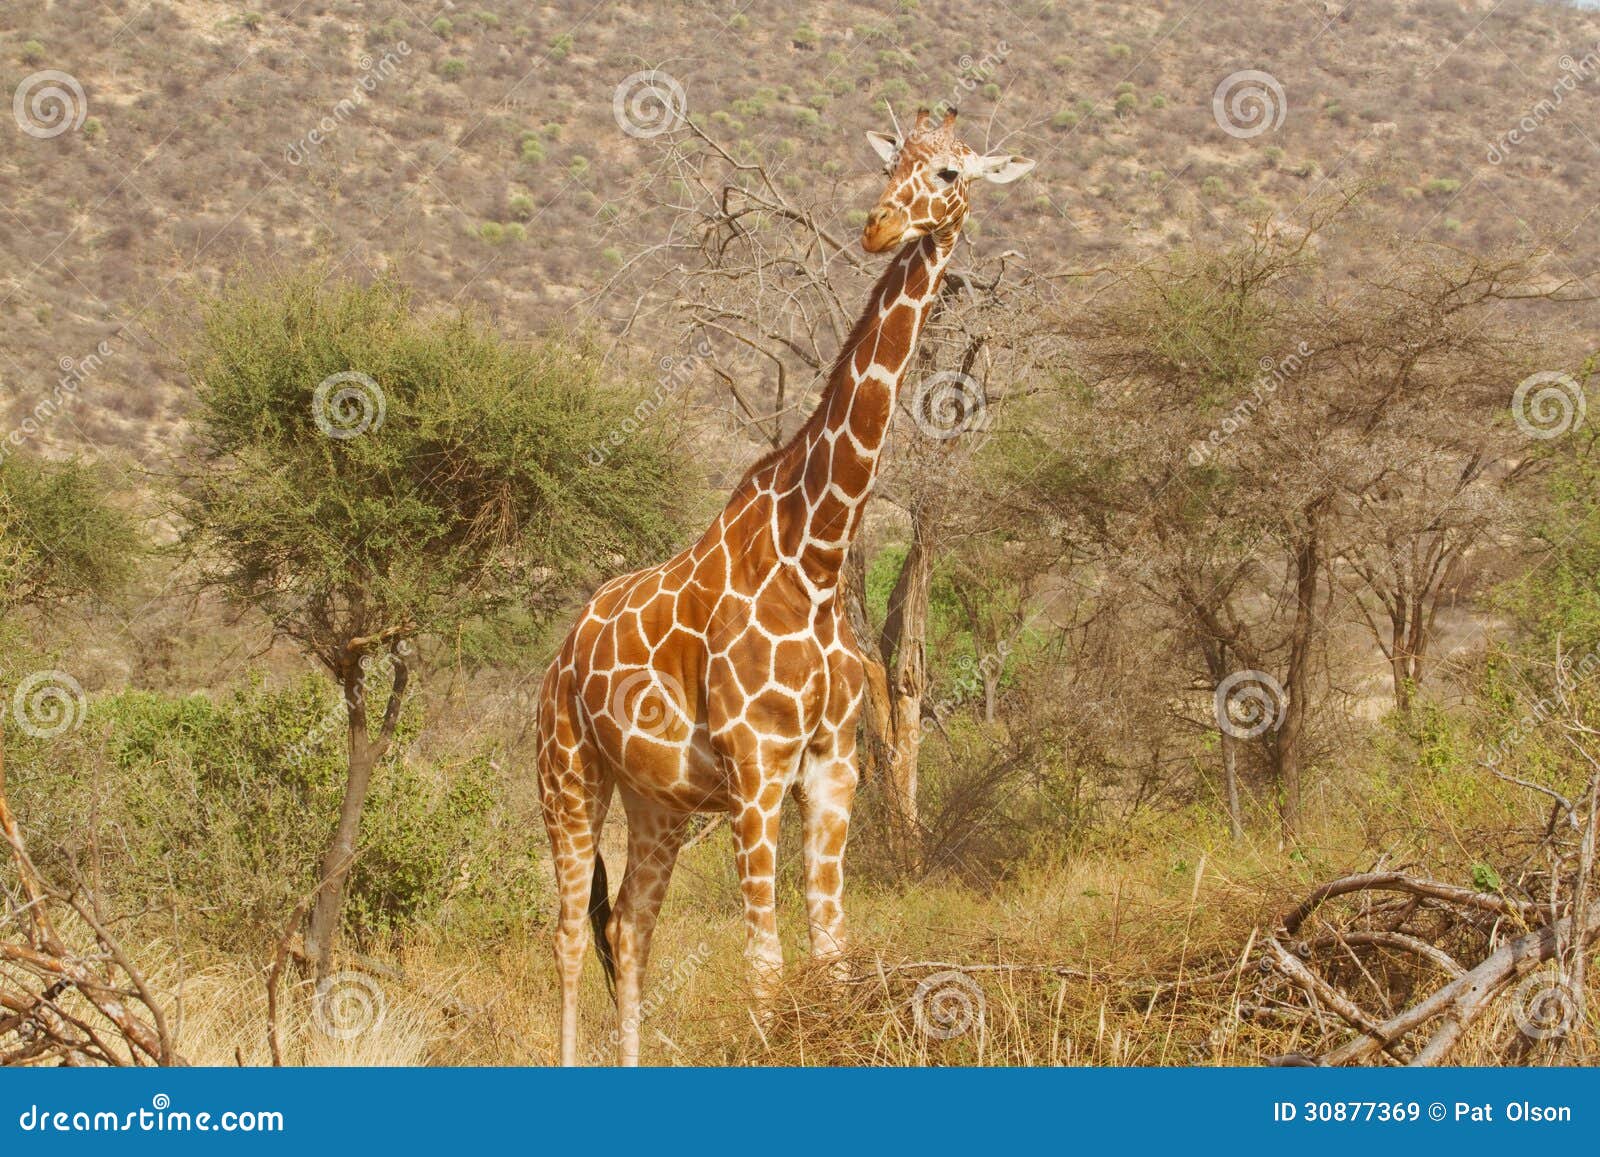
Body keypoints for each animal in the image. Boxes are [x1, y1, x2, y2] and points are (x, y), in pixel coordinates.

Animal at [536, 108, 1034, 1066]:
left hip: (657, 802)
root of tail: (557, 660)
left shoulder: (833, 768)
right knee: (571, 934)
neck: (817, 555)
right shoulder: (757, 768)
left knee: (628, 928)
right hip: (567, 776)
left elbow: (830, 950)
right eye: (895, 161)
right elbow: (766, 965)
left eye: (950, 172)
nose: (878, 225)